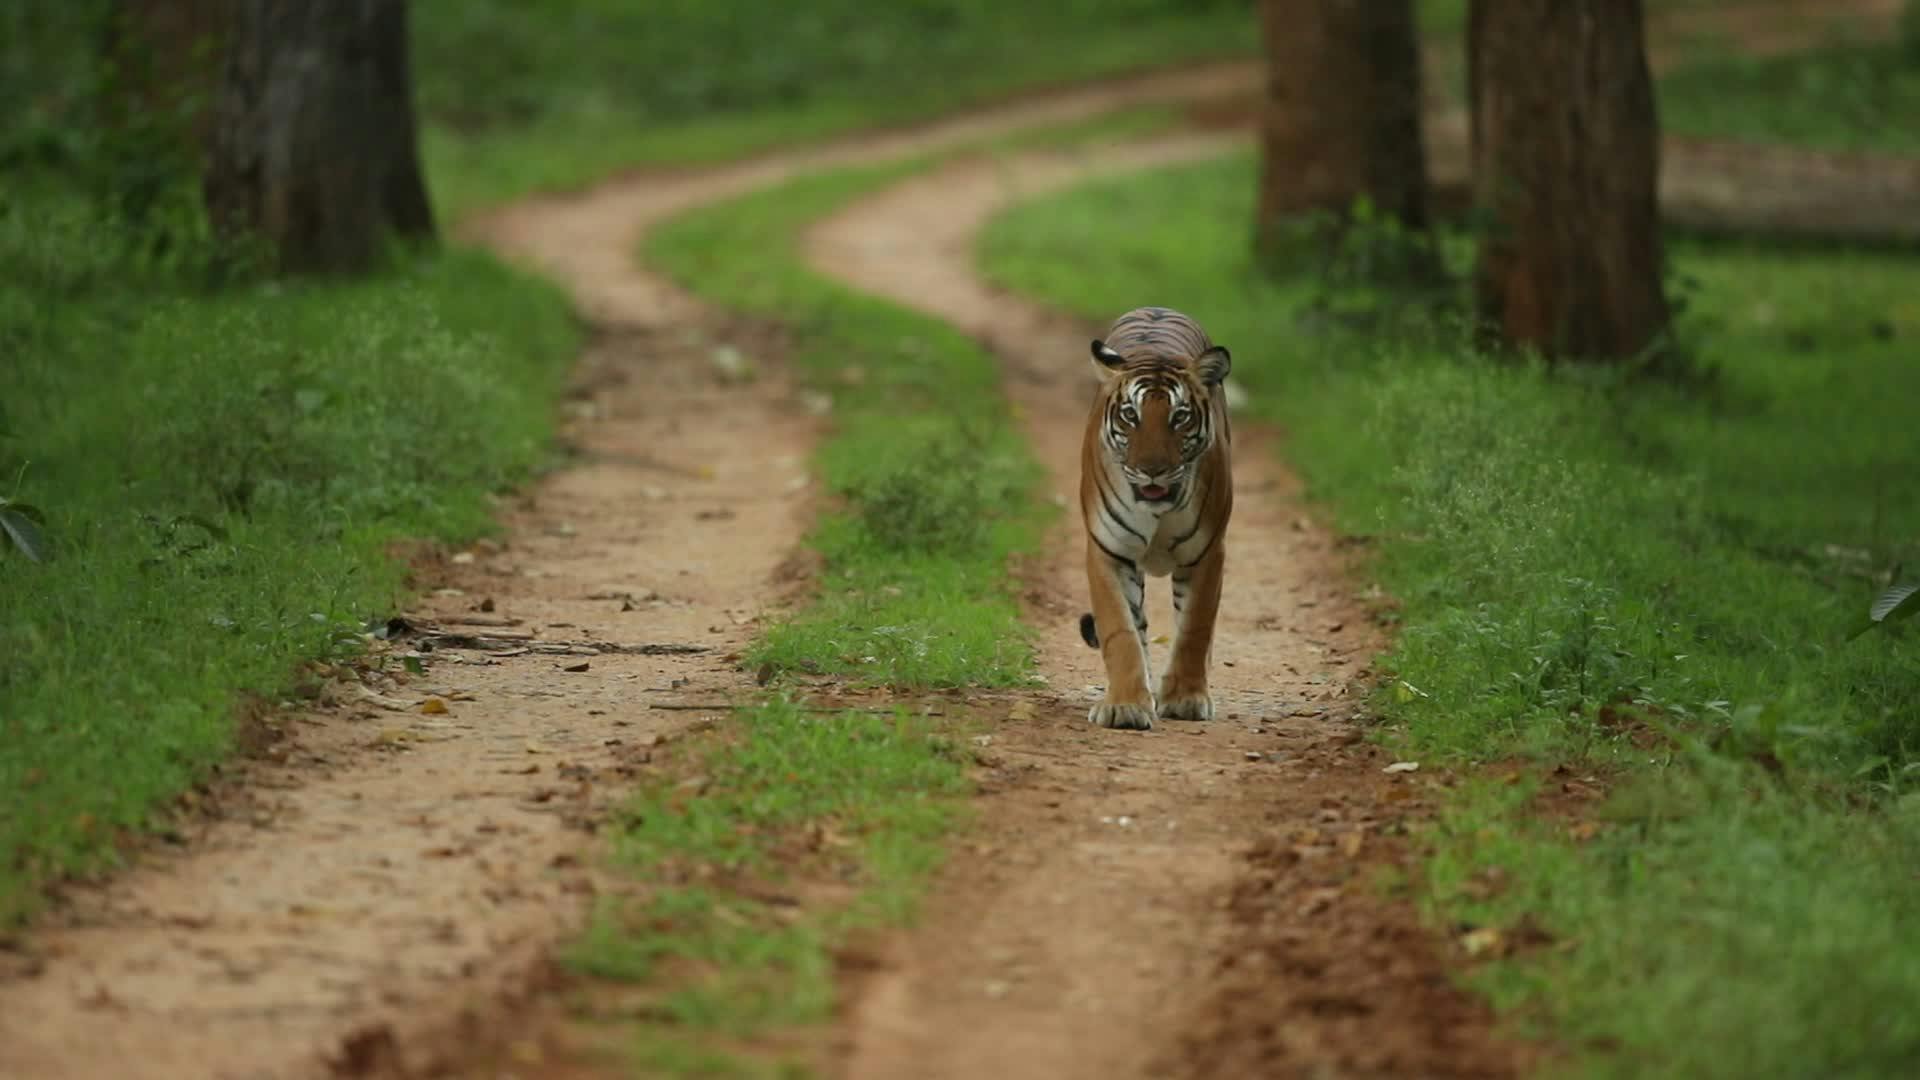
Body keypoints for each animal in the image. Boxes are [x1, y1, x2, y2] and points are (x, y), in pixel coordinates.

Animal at [1077, 306, 1233, 731]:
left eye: (1179, 417)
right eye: (1131, 415)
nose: (1152, 471)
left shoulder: (1206, 553)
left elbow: (1195, 627)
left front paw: (1185, 698)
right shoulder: (1109, 550)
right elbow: (1121, 631)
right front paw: (1125, 705)